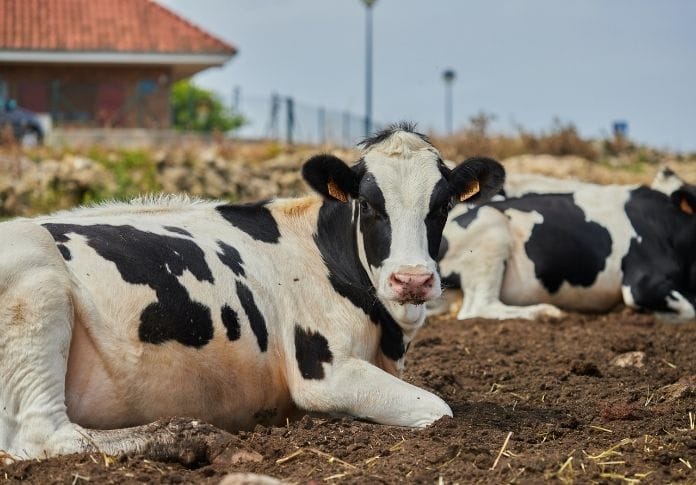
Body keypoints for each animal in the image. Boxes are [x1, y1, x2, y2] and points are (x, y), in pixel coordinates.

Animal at [0, 123, 504, 461]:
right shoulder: (323, 373)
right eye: (368, 203)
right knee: (44, 435)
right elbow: (438, 409)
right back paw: (189, 435)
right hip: (37, 289)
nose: (412, 280)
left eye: (443, 204)